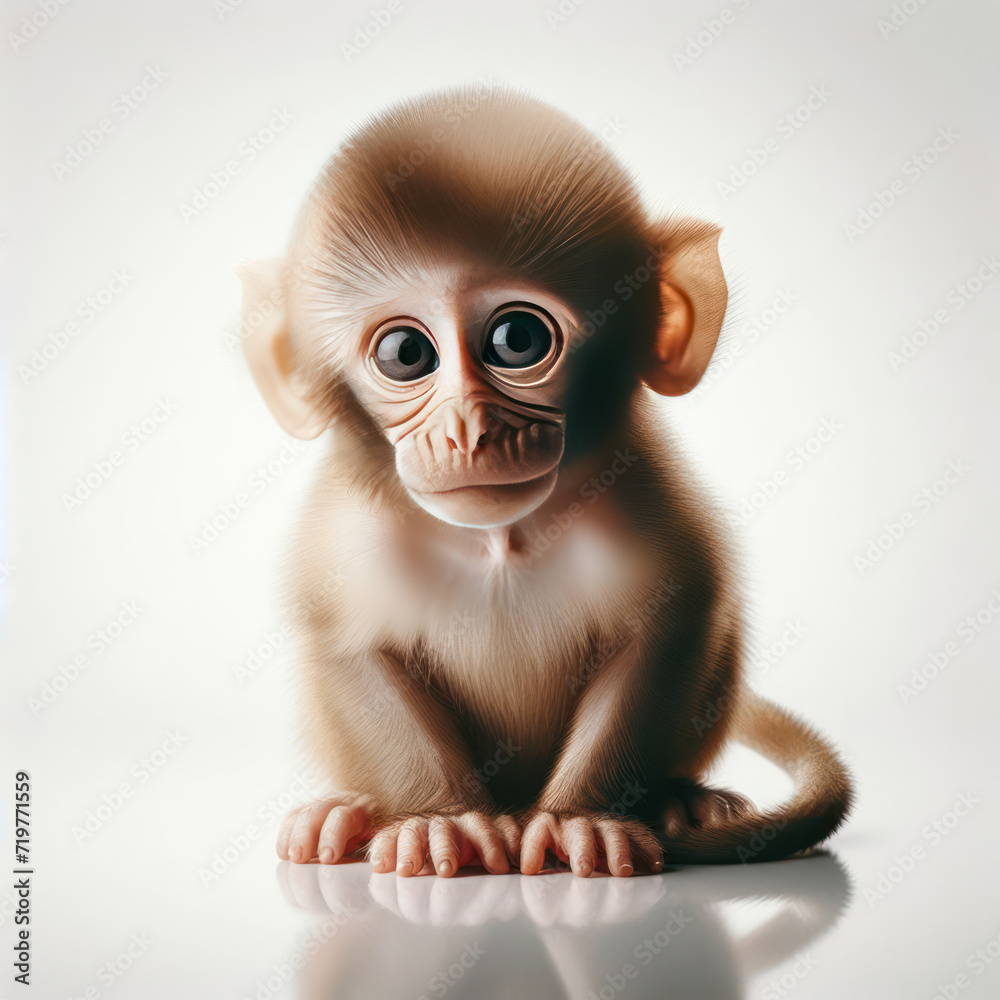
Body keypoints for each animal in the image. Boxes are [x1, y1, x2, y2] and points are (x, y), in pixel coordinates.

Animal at [238, 84, 852, 879]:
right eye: (406, 354)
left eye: (517, 339)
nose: (467, 432)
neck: (500, 540)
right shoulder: (345, 536)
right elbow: (351, 647)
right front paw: (437, 820)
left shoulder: (649, 503)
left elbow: (664, 633)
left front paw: (579, 820)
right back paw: (344, 814)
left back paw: (687, 802)